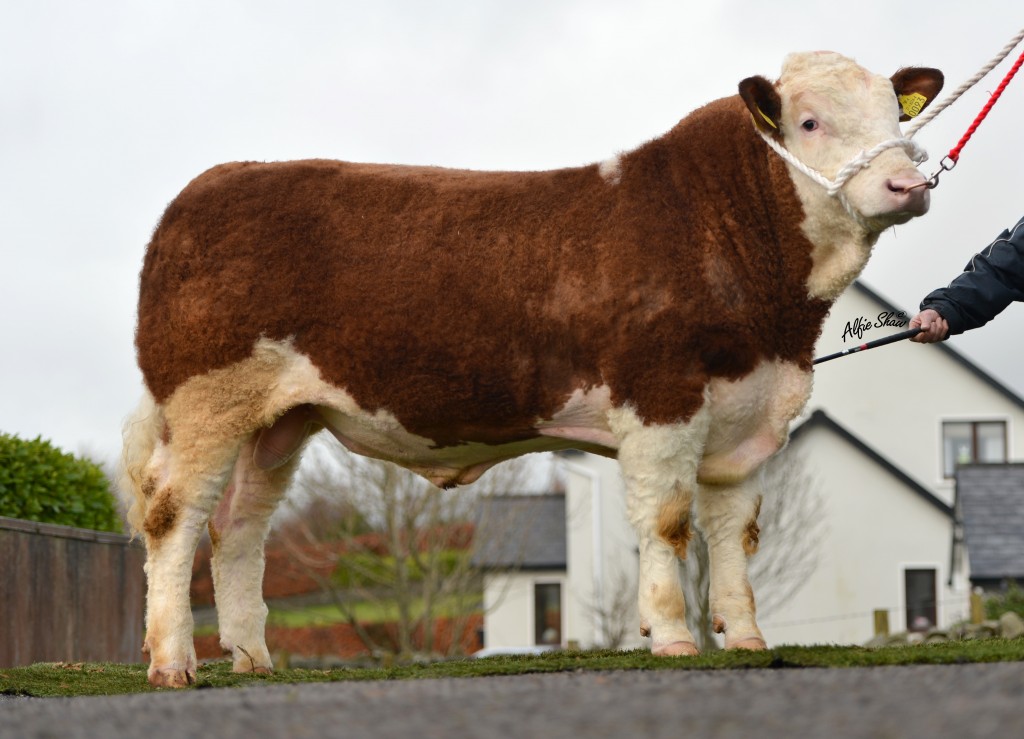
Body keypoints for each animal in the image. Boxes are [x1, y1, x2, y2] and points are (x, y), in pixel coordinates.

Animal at [121, 51, 943, 687]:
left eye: (898, 119)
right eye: (810, 123)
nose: (908, 184)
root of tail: (206, 187)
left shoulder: (748, 415)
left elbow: (734, 533)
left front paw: (744, 638)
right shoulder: (660, 395)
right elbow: (669, 521)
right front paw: (674, 636)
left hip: (278, 420)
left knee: (240, 527)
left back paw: (253, 657)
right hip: (206, 399)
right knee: (175, 516)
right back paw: (172, 661)